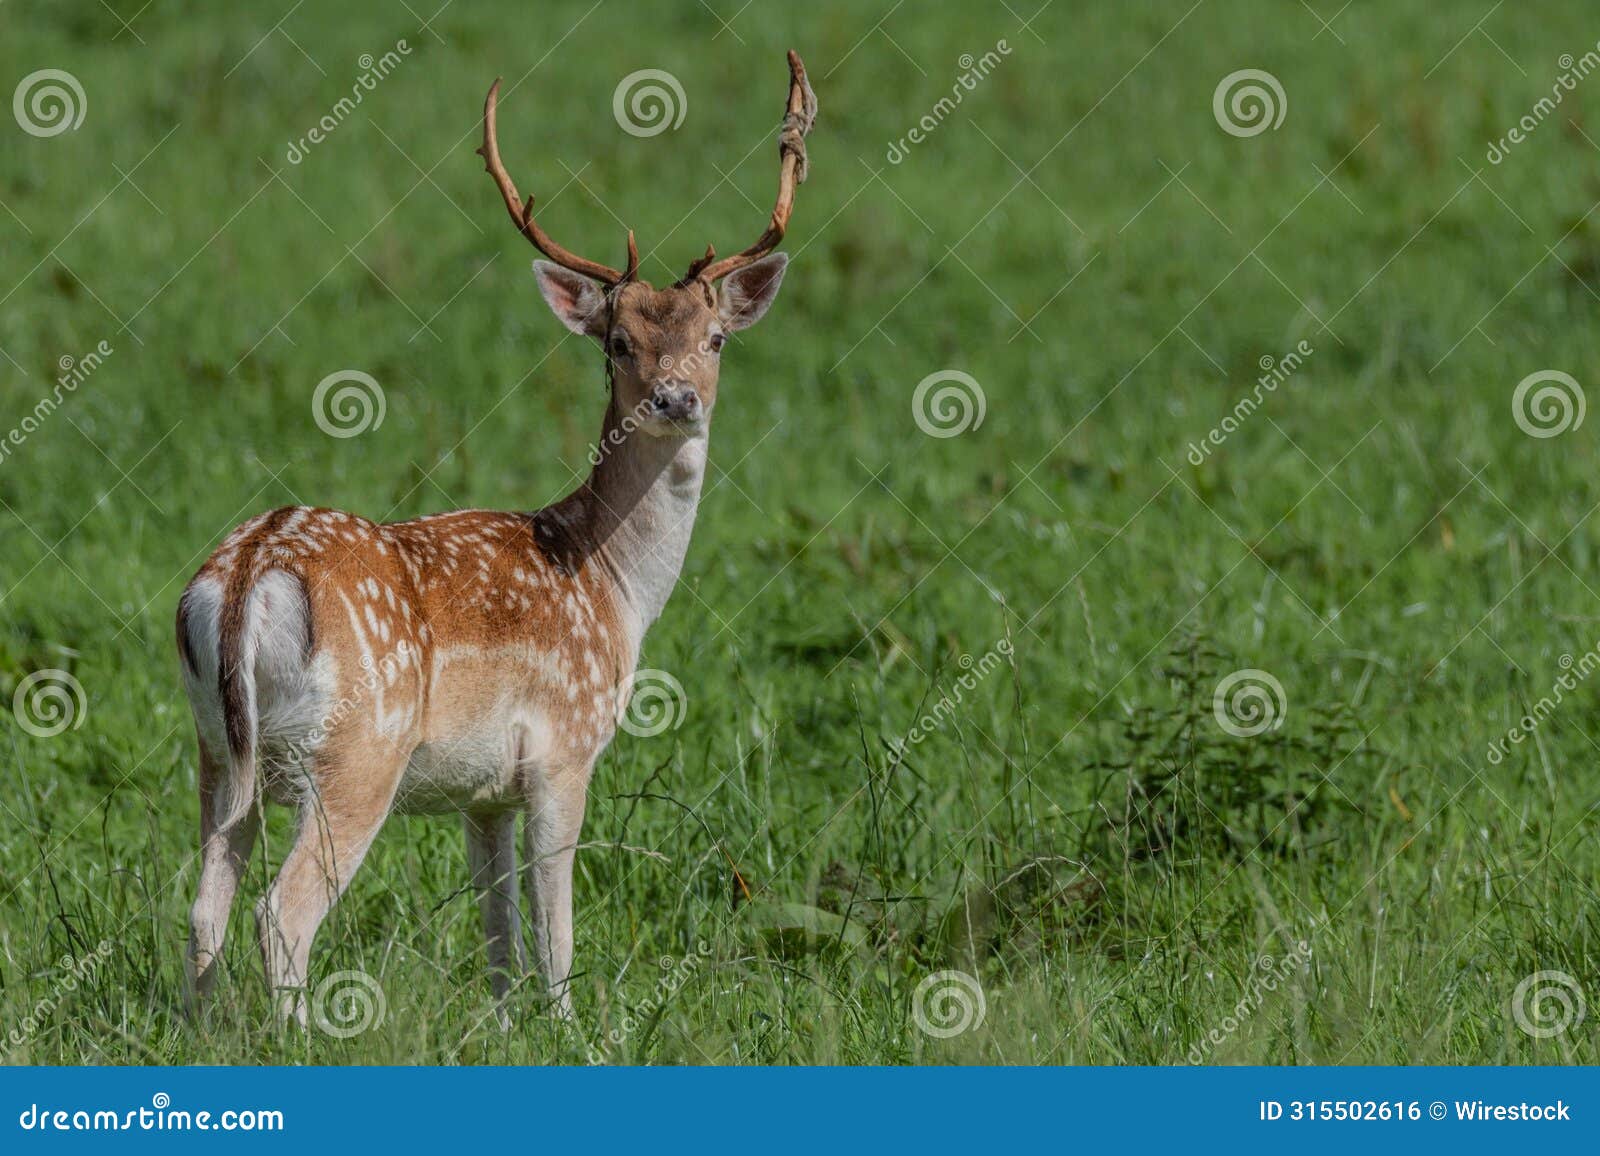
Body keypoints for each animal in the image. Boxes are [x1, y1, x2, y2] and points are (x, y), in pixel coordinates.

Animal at [176, 51, 816, 1026]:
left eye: (715, 339)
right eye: (616, 342)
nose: (676, 399)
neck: (615, 587)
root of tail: (252, 571)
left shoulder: (485, 795)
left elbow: (498, 927)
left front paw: (503, 1025)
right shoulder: (565, 751)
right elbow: (557, 927)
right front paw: (572, 1027)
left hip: (216, 750)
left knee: (203, 908)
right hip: (356, 751)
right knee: (281, 914)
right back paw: (301, 1034)